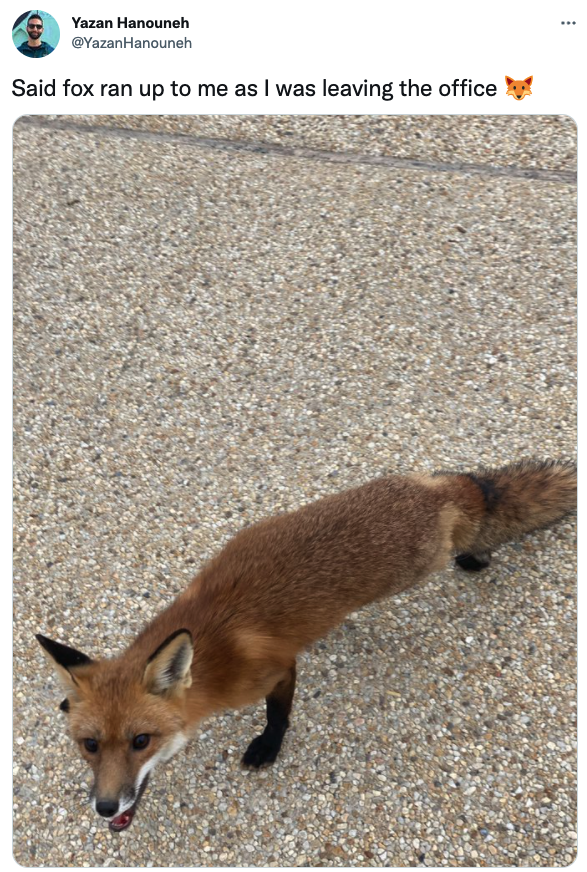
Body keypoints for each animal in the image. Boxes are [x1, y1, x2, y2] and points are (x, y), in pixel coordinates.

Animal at [36, 458, 576, 831]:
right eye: (89, 745)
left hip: (424, 564)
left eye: (141, 741)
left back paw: (479, 554)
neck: (209, 658)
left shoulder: (275, 668)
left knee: (474, 512)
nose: (106, 806)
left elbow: (279, 714)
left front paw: (267, 747)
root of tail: (429, 493)